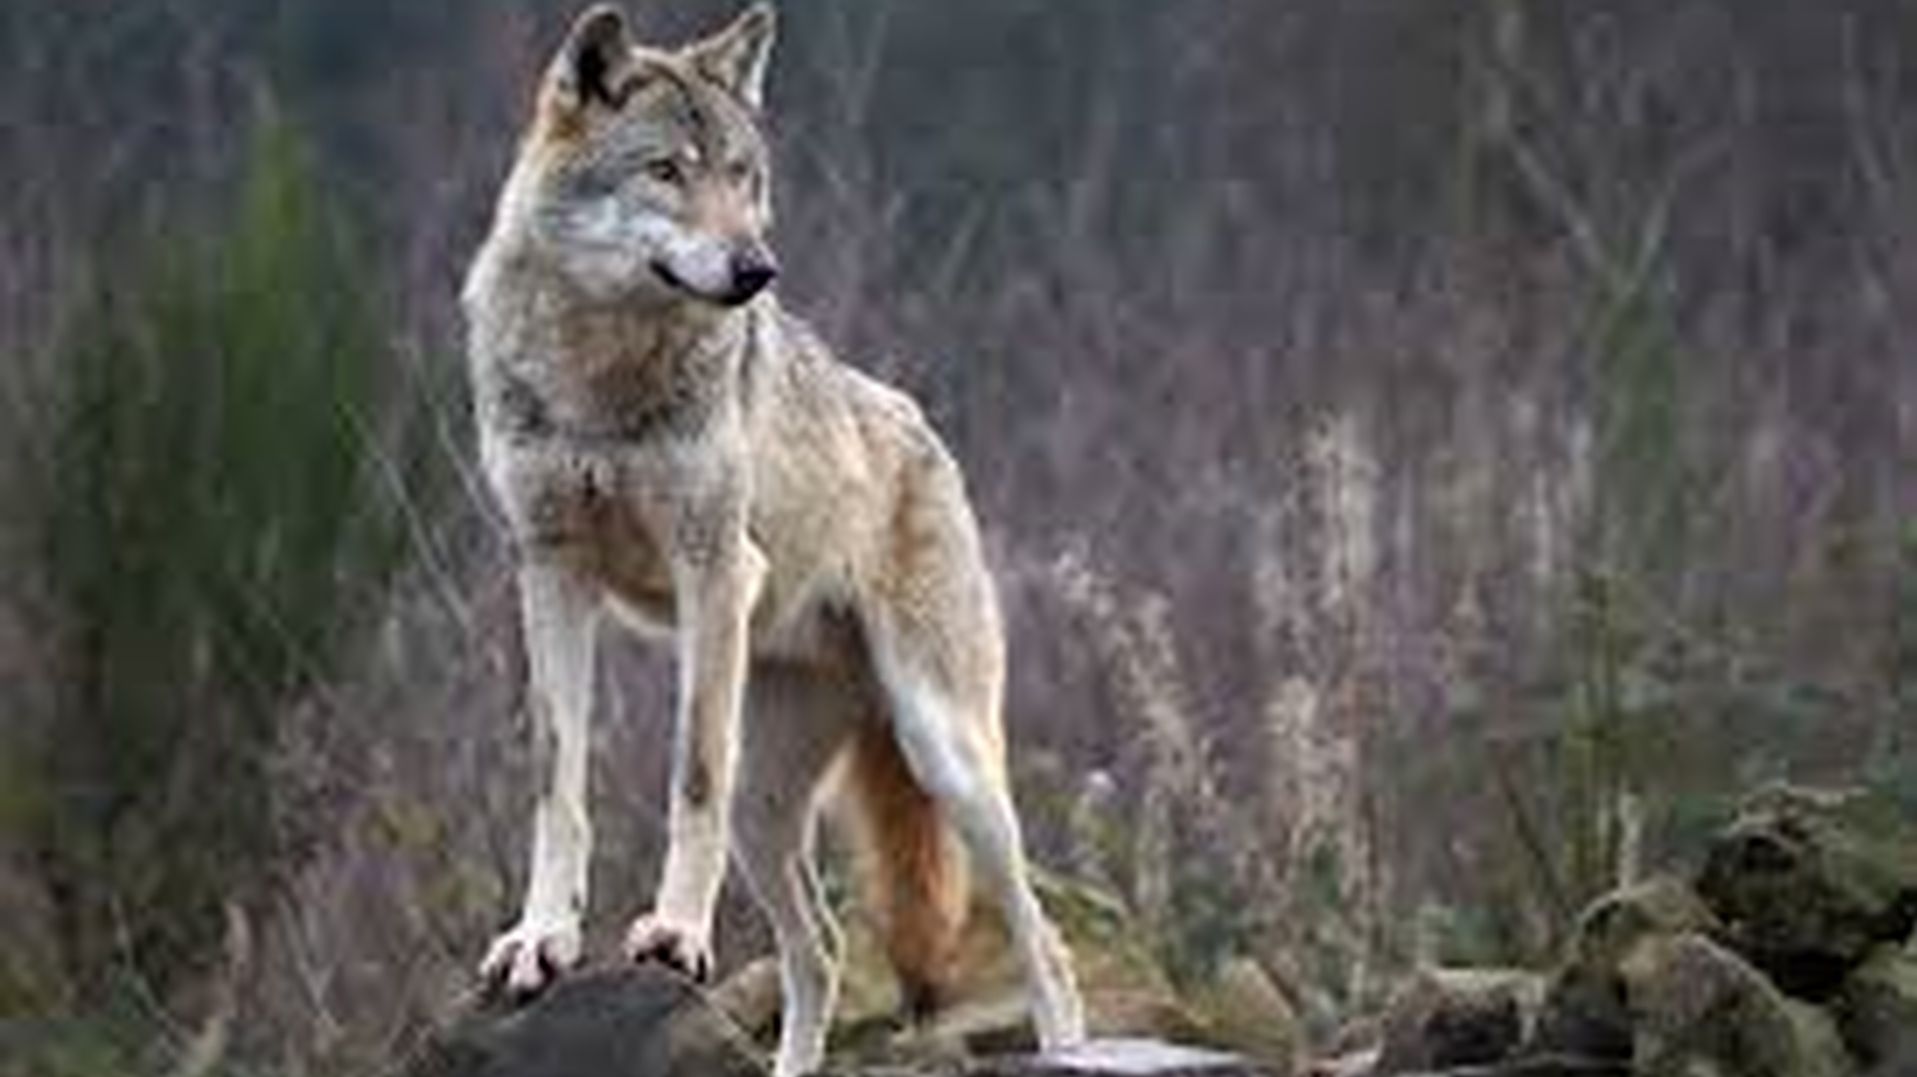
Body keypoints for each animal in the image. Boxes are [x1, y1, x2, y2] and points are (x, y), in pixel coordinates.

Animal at [459, 5, 1087, 1074]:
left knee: (1043, 941)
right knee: (822, 951)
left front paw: (673, 931)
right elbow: (558, 780)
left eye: (742, 174)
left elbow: (688, 775)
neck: (601, 372)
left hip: (944, 754)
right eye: (666, 171)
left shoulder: (713, 565)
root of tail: (924, 429)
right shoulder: (548, 569)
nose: (757, 270)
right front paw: (542, 937)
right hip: (771, 806)